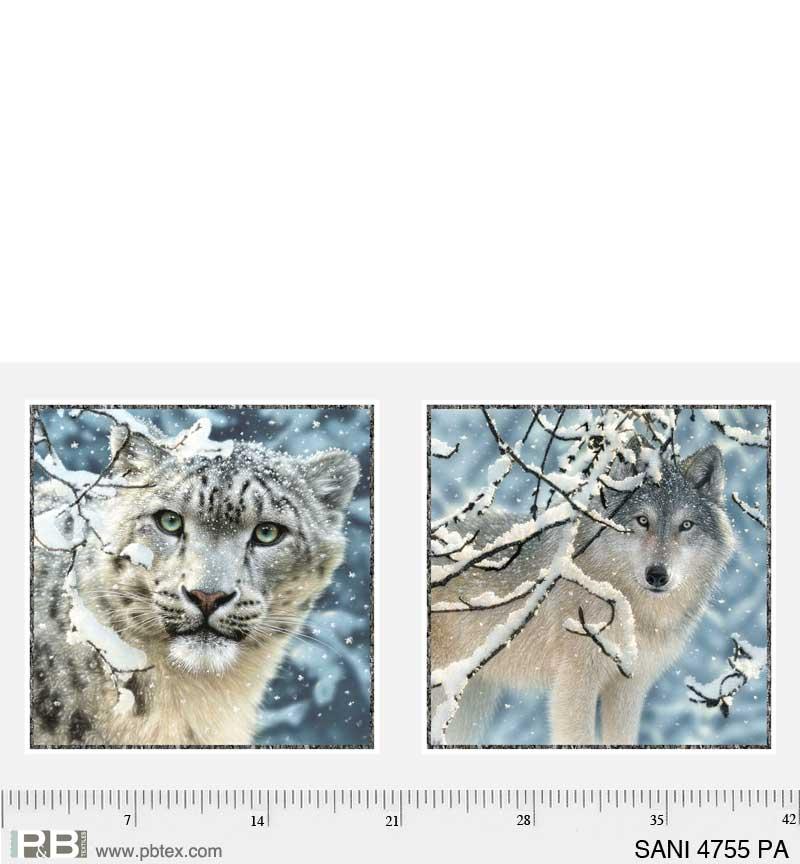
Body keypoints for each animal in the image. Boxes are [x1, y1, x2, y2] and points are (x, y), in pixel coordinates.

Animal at [430, 444, 735, 746]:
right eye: (642, 520)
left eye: (686, 525)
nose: (657, 575)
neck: (632, 610)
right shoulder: (576, 679)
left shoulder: (629, 687)